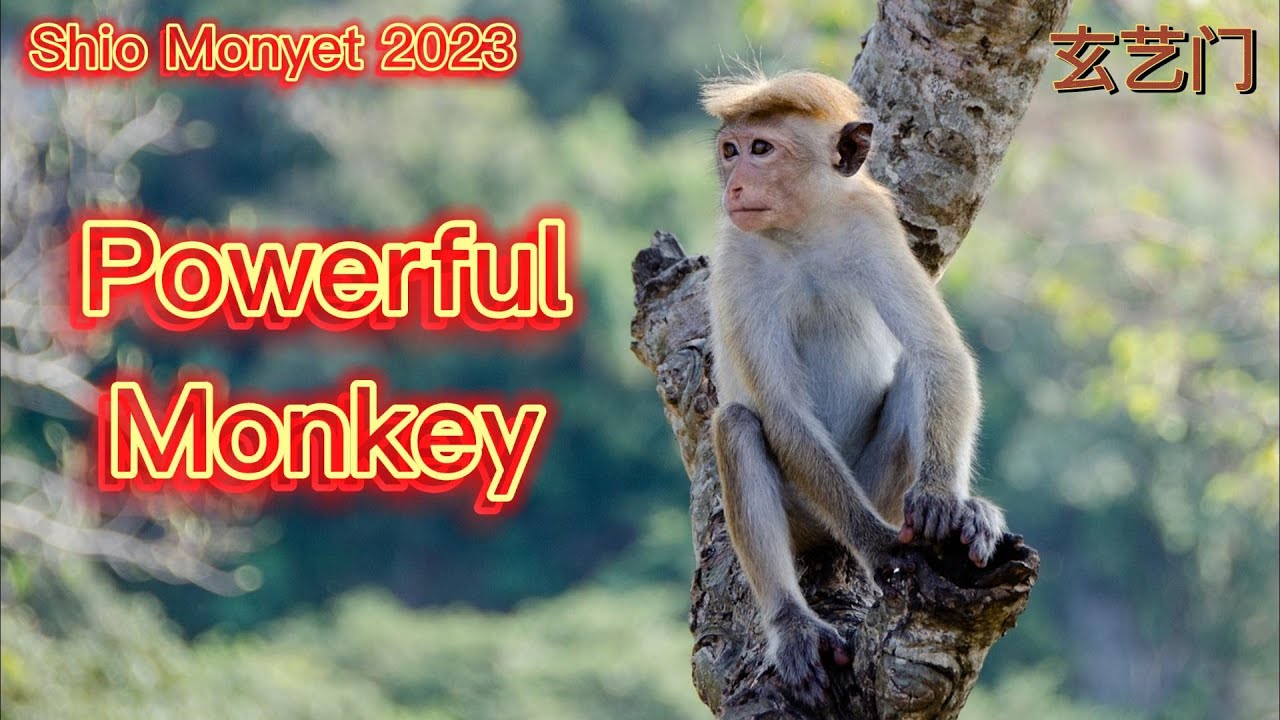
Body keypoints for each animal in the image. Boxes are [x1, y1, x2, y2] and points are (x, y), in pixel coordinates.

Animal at [703, 70, 1007, 705]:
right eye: (730, 150)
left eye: (760, 148)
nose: (736, 184)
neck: (801, 232)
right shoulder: (738, 261)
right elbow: (784, 412)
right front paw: (880, 548)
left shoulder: (872, 225)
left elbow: (937, 352)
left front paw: (943, 500)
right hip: (808, 512)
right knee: (738, 425)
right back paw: (794, 625)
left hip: (878, 484)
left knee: (916, 370)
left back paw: (964, 511)